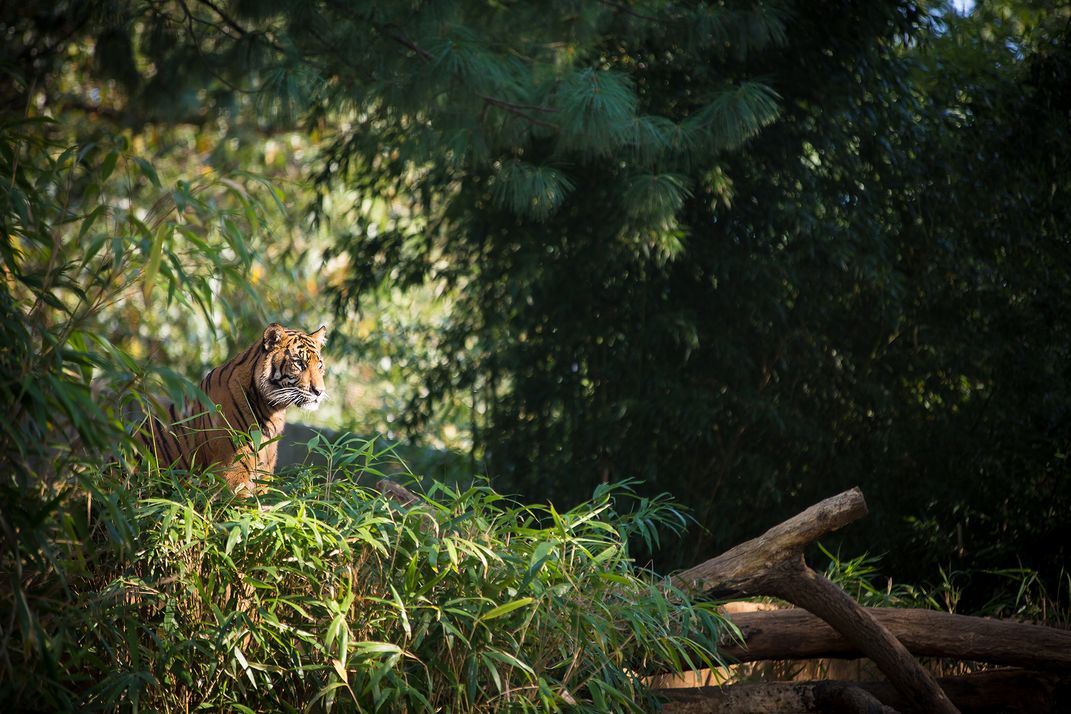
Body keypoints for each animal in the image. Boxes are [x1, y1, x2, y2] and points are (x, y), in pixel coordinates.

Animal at [138, 323, 328, 495]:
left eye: (319, 365)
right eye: (299, 363)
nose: (319, 391)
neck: (272, 410)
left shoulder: (263, 475)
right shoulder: (230, 473)